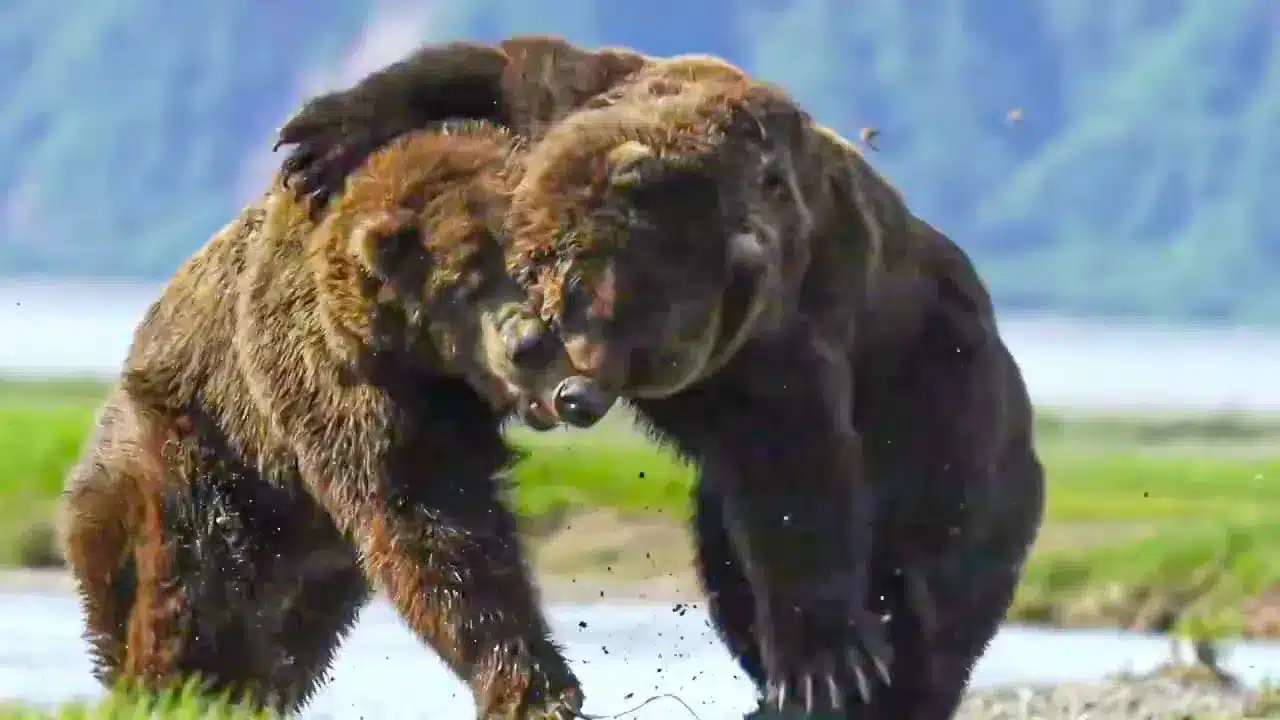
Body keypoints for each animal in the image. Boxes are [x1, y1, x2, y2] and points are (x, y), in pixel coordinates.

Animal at [57, 119, 615, 719]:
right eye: (466, 283)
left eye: (533, 269)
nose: (525, 345)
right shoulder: (335, 374)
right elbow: (431, 525)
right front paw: (534, 689)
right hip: (196, 450)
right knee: (189, 581)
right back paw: (166, 686)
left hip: (308, 558)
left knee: (284, 636)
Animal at [497, 79, 1046, 719]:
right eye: (546, 281)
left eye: (594, 298)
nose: (574, 395)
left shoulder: (791, 335)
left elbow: (797, 470)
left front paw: (825, 666)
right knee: (728, 561)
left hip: (957, 403)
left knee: (937, 575)